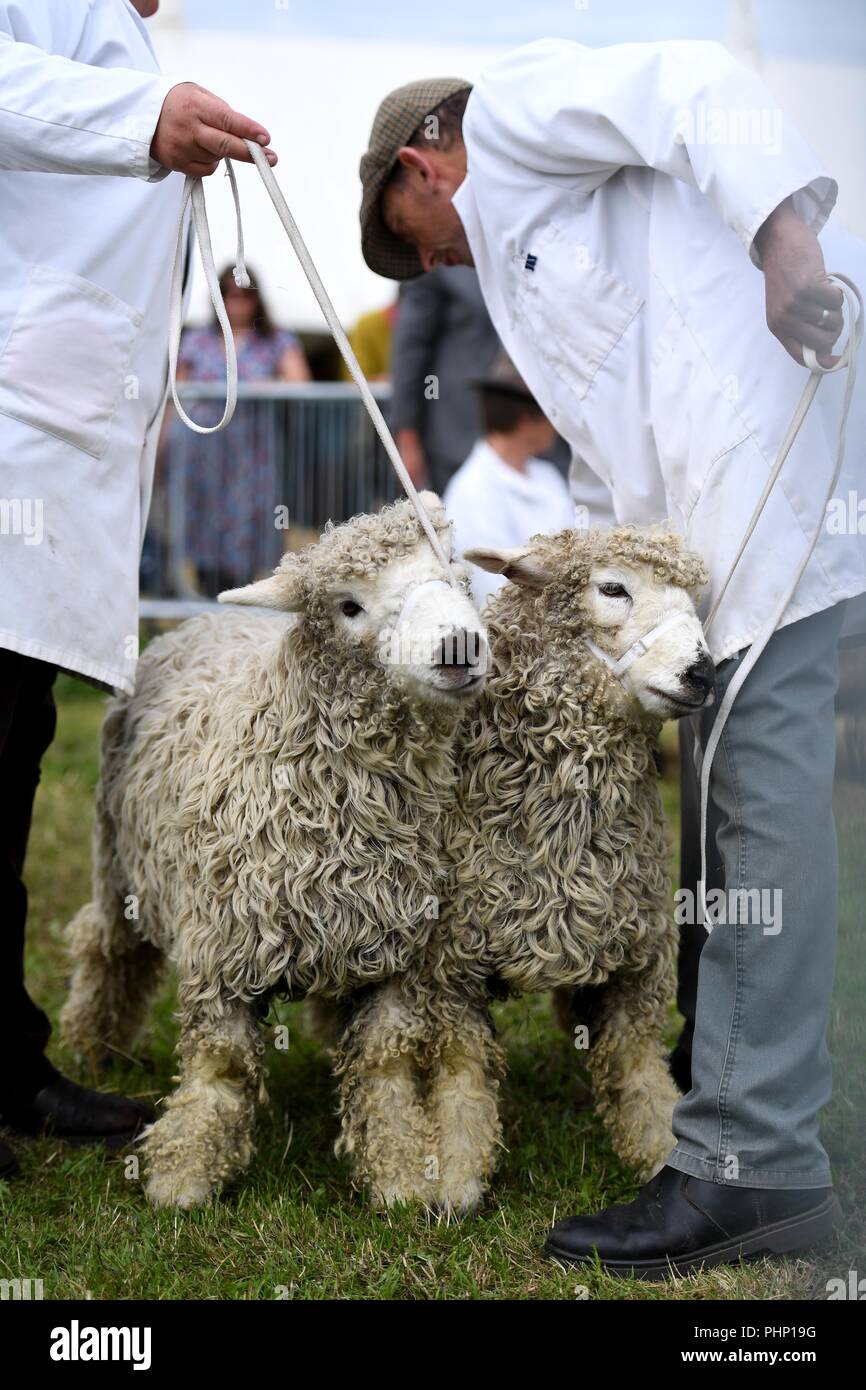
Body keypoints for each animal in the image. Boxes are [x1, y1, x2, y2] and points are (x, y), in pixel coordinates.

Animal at [59, 493, 487, 1209]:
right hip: (117, 860)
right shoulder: (222, 947)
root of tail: (200, 620)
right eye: (349, 605)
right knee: (108, 949)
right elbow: (222, 1066)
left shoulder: (399, 954)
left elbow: (387, 1065)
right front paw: (185, 1175)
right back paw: (94, 1047)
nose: (459, 645)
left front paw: (398, 1173)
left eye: (455, 574)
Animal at [334, 524, 712, 1215]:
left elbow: (640, 1070)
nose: (703, 673)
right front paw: (456, 1178)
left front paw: (660, 1155)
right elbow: (463, 1074)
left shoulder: (640, 959)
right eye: (612, 588)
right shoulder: (448, 967)